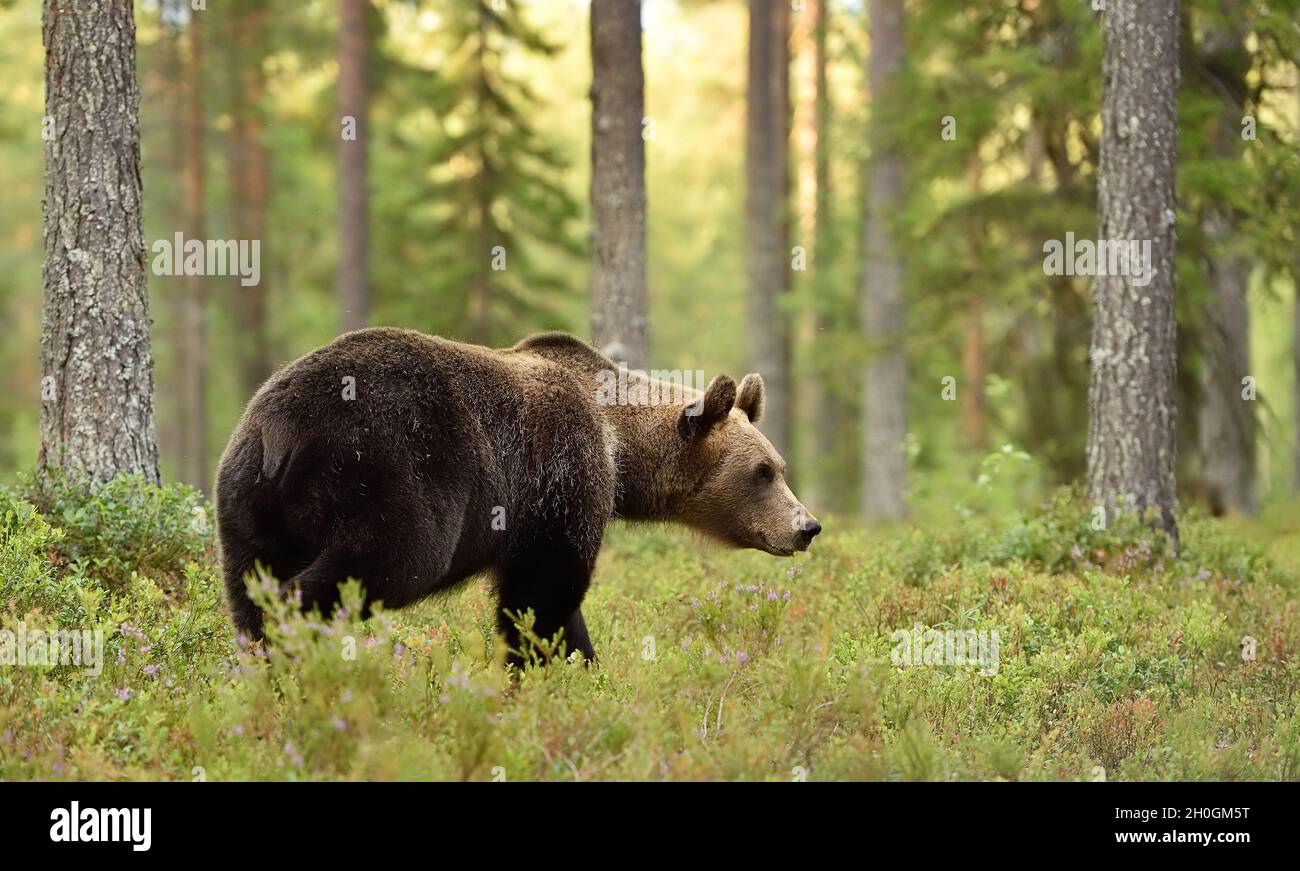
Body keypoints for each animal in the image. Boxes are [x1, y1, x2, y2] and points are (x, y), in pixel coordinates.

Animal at [214, 327, 821, 665]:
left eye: (780, 467)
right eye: (762, 472)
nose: (807, 526)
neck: (617, 443)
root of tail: (282, 426)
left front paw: (583, 667)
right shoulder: (558, 478)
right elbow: (543, 594)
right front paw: (541, 668)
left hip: (246, 498)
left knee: (247, 585)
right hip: (381, 473)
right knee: (379, 561)